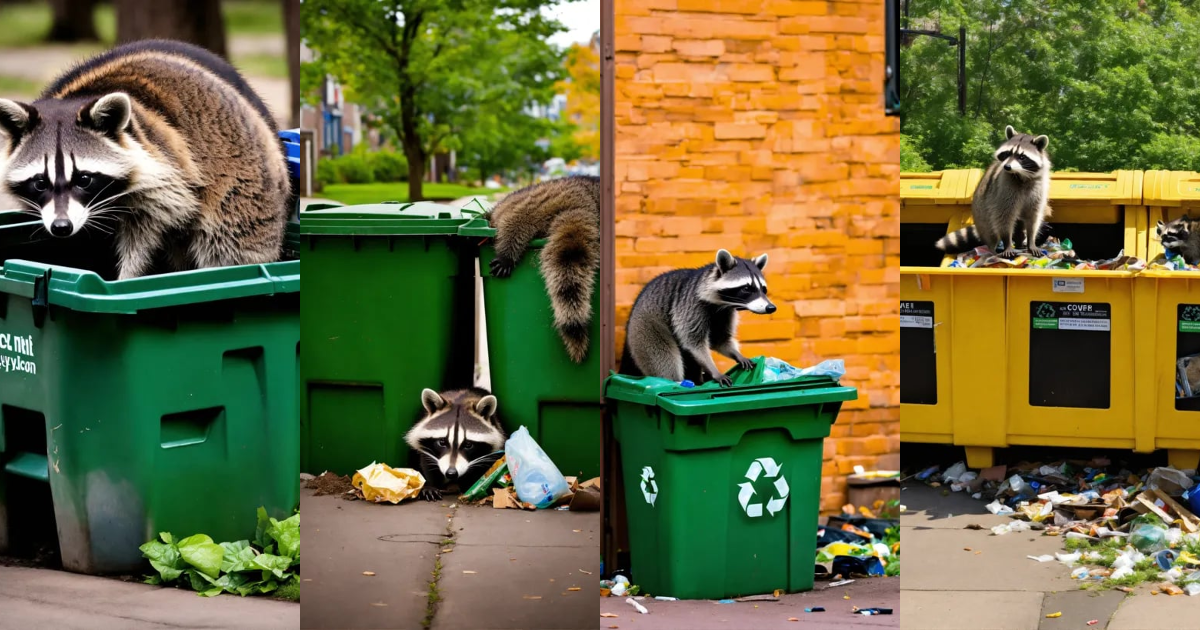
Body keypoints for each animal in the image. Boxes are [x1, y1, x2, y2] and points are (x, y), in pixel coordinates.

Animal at [0, 40, 289, 280]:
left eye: (84, 179)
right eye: (40, 182)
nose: (61, 227)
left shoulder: (169, 175)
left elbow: (146, 235)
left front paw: (127, 277)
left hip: (244, 183)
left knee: (228, 238)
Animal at [620, 249, 774, 387]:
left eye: (764, 289)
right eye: (747, 288)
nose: (771, 308)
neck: (722, 304)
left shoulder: (725, 313)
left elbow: (720, 340)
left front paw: (736, 354)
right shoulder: (690, 306)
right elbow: (693, 342)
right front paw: (713, 370)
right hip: (645, 328)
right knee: (665, 360)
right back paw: (675, 382)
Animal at [936, 125, 1052, 258]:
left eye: (1022, 157)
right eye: (1007, 153)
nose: (1007, 167)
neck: (1021, 176)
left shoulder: (1037, 188)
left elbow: (1033, 217)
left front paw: (1031, 241)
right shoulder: (1003, 189)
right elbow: (1004, 217)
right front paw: (1007, 243)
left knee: (1020, 224)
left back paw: (1019, 243)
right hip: (982, 212)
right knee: (991, 231)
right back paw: (992, 250)